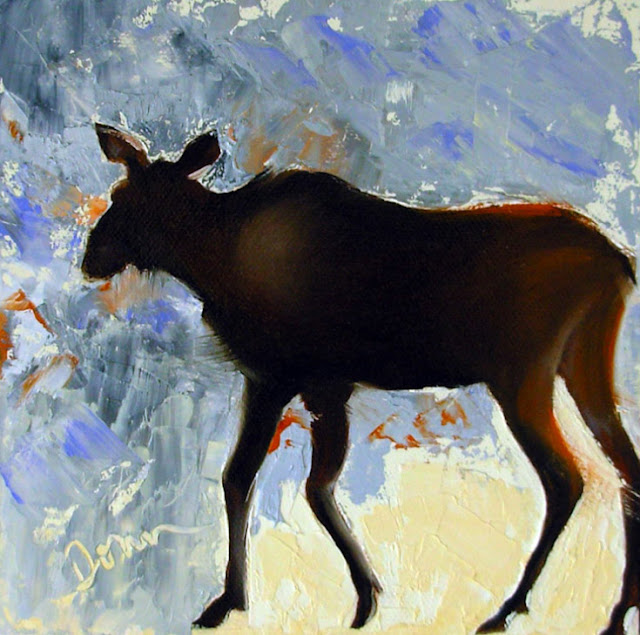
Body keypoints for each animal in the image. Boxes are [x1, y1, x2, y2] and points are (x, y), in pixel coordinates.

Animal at [81, 123, 640, 634]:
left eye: (130, 201)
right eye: (118, 193)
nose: (91, 257)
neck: (214, 261)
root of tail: (621, 263)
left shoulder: (293, 379)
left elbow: (285, 482)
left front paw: (352, 596)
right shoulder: (302, 384)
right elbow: (274, 480)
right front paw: (246, 598)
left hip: (523, 376)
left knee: (566, 479)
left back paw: (508, 607)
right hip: (582, 365)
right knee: (624, 466)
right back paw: (616, 611)